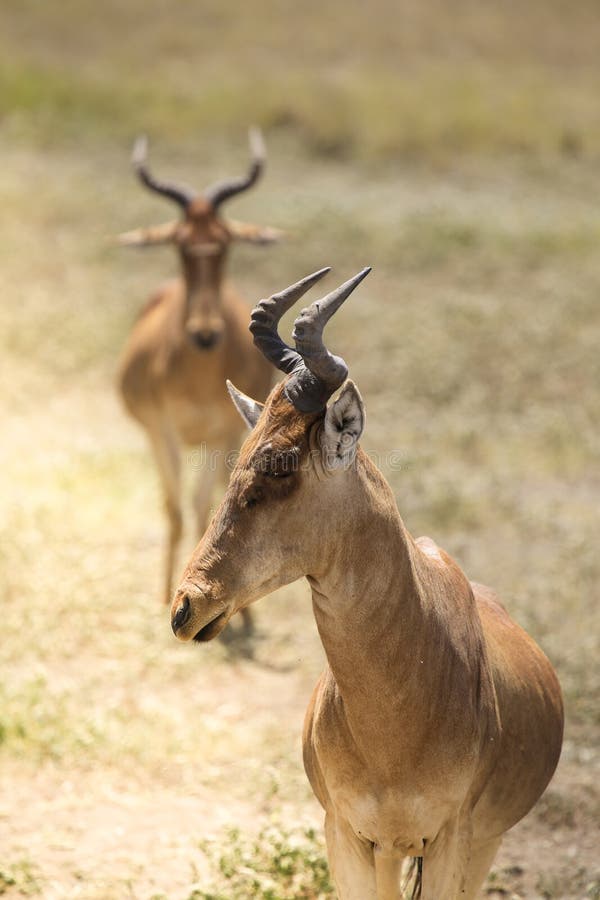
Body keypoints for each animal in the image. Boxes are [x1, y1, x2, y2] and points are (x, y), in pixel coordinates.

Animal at [118, 129, 279, 619]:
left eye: (225, 242)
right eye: (179, 242)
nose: (205, 334)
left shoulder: (223, 433)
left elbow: (207, 505)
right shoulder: (161, 429)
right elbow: (174, 508)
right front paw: (164, 595)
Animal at [169, 267, 564, 899]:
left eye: (280, 464)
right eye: (240, 458)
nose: (187, 607)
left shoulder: (450, 841)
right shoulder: (347, 834)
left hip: (477, 845)